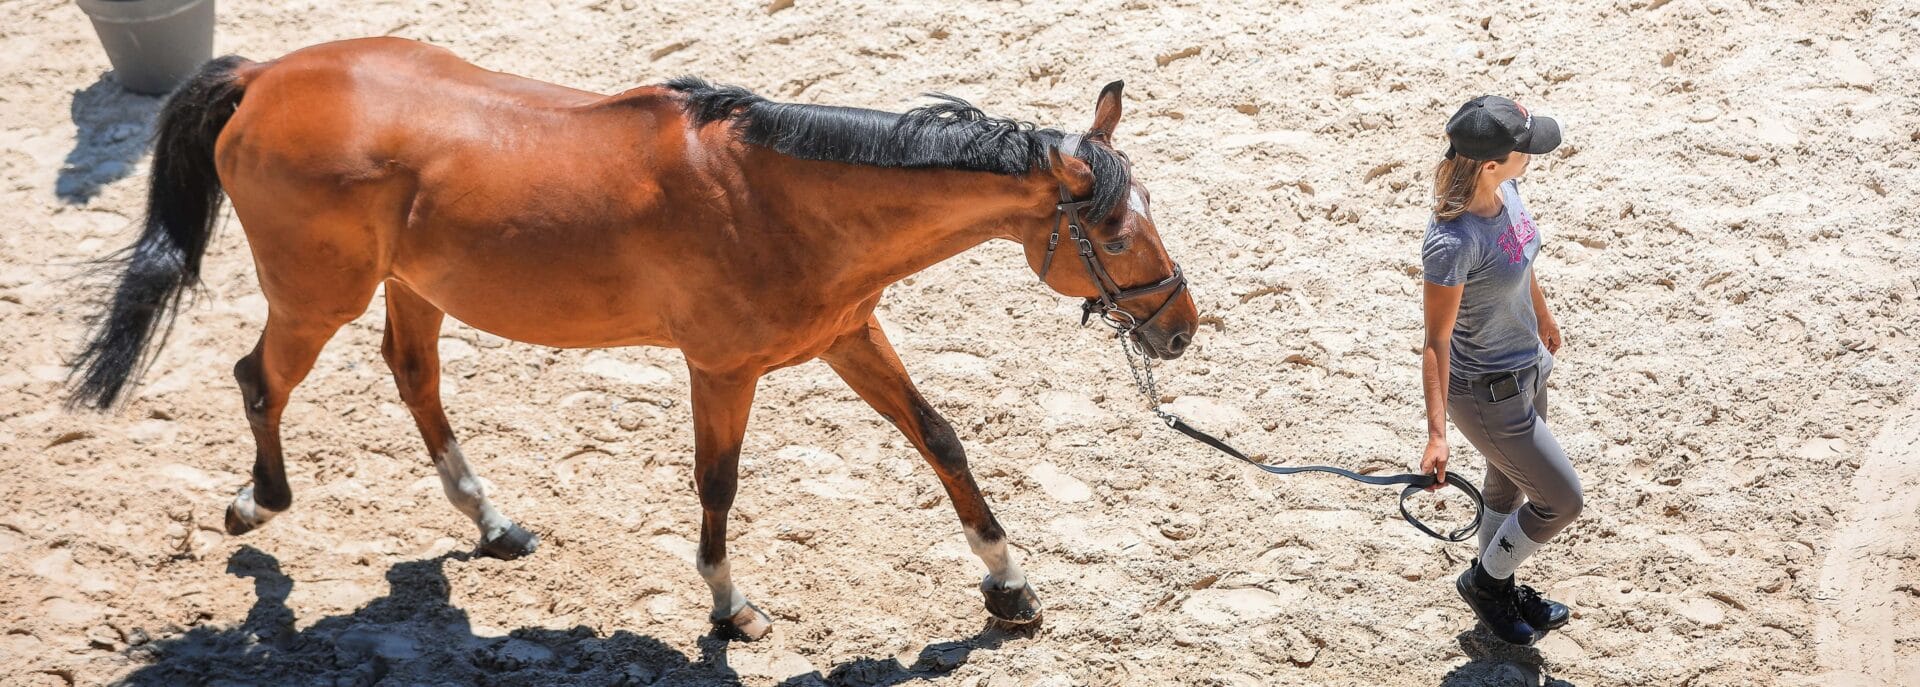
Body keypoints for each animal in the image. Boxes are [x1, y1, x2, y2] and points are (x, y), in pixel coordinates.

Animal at [69, 37, 1198, 640]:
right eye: (1110, 227)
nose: (1181, 326)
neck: (777, 196)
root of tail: (264, 75)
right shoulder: (721, 370)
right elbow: (719, 486)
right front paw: (730, 608)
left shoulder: (850, 335)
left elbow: (942, 441)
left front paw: (1008, 586)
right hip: (317, 296)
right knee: (259, 376)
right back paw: (255, 505)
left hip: (411, 287)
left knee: (414, 377)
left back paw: (494, 522)